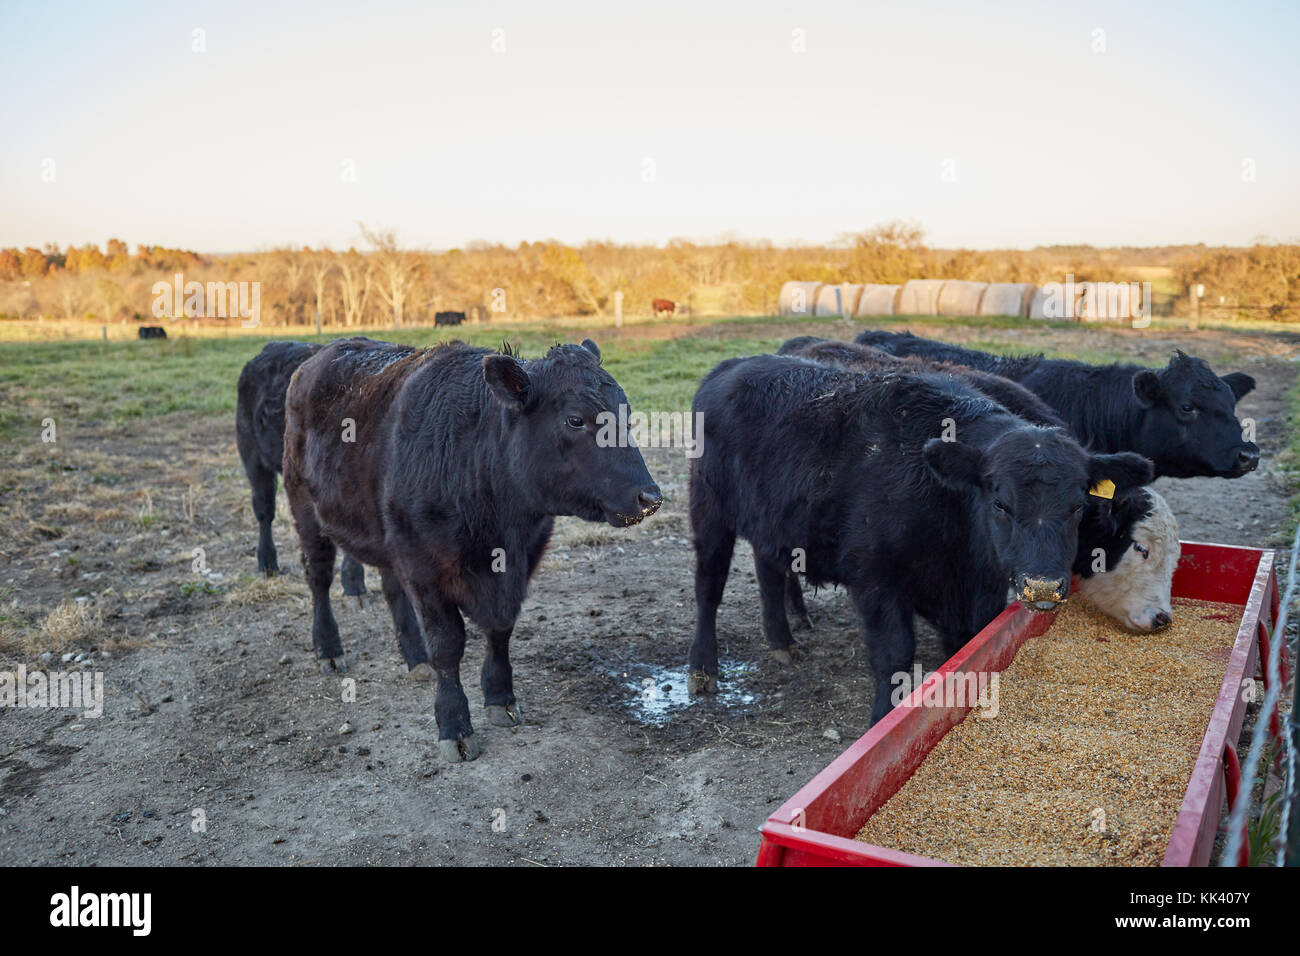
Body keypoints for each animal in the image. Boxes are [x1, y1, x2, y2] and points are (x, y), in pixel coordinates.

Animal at [283, 336, 663, 761]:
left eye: (627, 416)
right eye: (575, 420)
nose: (650, 497)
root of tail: (322, 354)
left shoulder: (519, 562)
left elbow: (500, 628)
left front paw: (500, 697)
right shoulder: (423, 566)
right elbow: (447, 645)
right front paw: (454, 724)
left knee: (391, 588)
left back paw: (414, 657)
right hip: (306, 509)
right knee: (318, 577)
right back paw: (329, 649)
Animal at [687, 354, 1152, 724]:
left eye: (1077, 505)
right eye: (1000, 503)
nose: (1042, 586)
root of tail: (733, 366)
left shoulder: (976, 592)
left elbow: (969, 649)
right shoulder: (876, 578)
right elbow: (894, 654)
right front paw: (882, 720)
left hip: (770, 522)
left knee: (768, 570)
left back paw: (782, 641)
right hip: (709, 510)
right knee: (709, 586)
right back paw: (702, 669)